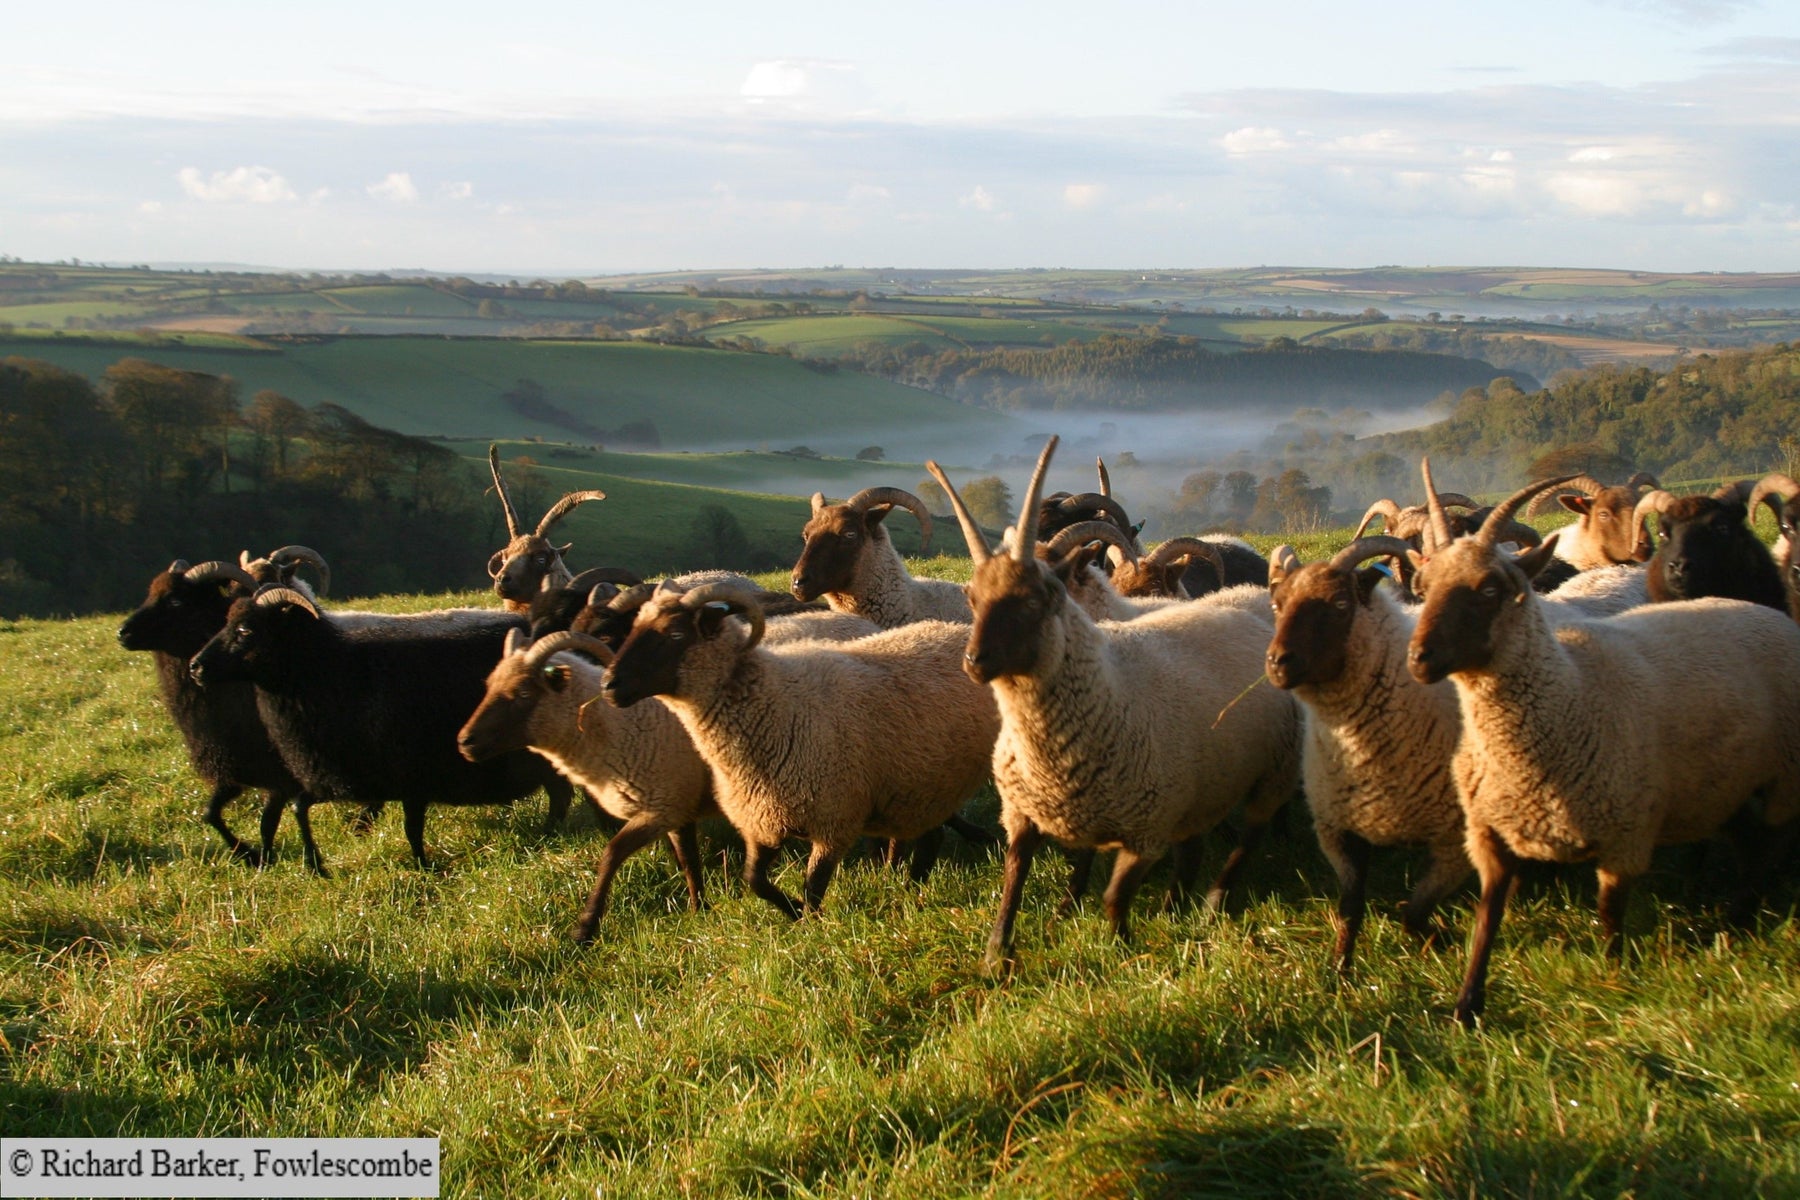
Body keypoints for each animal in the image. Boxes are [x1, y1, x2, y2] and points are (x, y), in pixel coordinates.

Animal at [189, 586, 577, 870]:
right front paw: (314, 866)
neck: (327, 671)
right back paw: (549, 834)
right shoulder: (344, 773)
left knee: (560, 794)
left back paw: (550, 834)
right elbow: (299, 807)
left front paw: (422, 866)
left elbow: (411, 828)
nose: (195, 666)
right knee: (559, 793)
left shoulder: (408, 775)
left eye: (245, 630)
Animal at [458, 628, 716, 941]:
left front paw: (585, 927)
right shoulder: (677, 805)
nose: (465, 741)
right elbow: (688, 860)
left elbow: (612, 854)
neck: (620, 729)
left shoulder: (662, 807)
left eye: (524, 693)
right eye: (489, 685)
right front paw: (698, 907)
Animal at [601, 581, 1001, 919]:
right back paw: (911, 890)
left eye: (675, 634)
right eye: (633, 628)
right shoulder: (763, 822)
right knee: (930, 837)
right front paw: (791, 910)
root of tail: (953, 629)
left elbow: (813, 889)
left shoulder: (833, 822)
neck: (773, 707)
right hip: (920, 784)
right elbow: (754, 880)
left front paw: (809, 922)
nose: (608, 684)